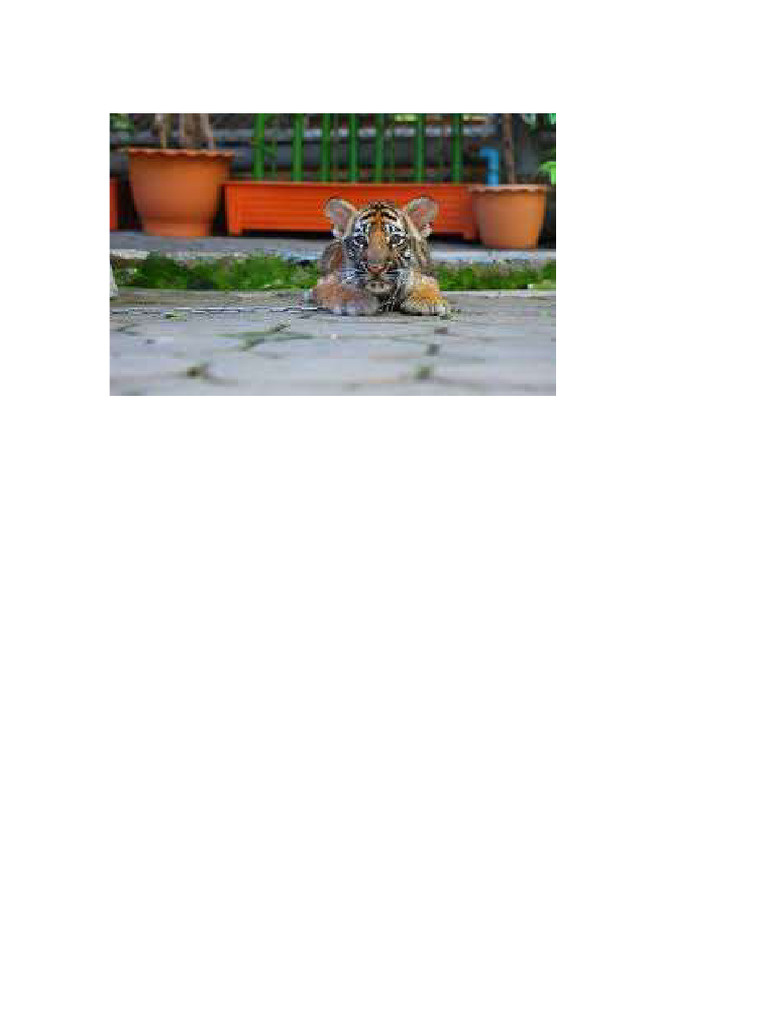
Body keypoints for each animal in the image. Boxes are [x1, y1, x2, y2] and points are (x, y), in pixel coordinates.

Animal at [311, 197, 450, 316]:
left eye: (395, 239)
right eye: (360, 240)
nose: (376, 268)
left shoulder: (422, 276)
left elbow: (428, 284)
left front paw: (428, 301)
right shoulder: (327, 280)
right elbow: (337, 288)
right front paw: (357, 301)